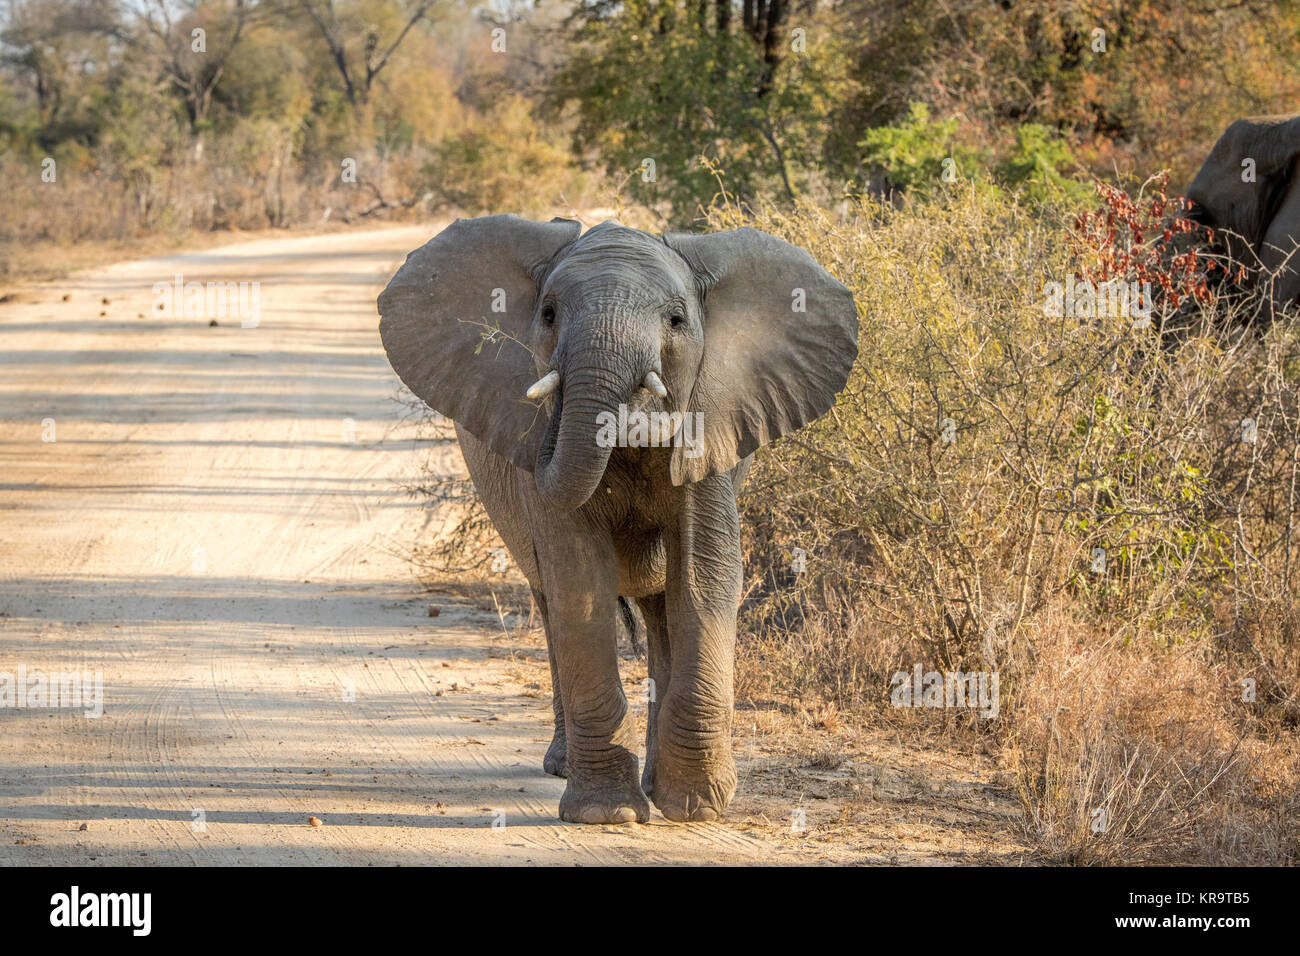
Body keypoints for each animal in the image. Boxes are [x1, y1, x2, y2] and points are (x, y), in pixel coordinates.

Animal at [377, 215, 858, 824]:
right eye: (548, 314)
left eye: (676, 319)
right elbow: (581, 583)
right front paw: (609, 815)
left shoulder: (711, 427)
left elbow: (704, 578)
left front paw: (695, 809)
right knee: (553, 600)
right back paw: (567, 767)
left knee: (660, 608)